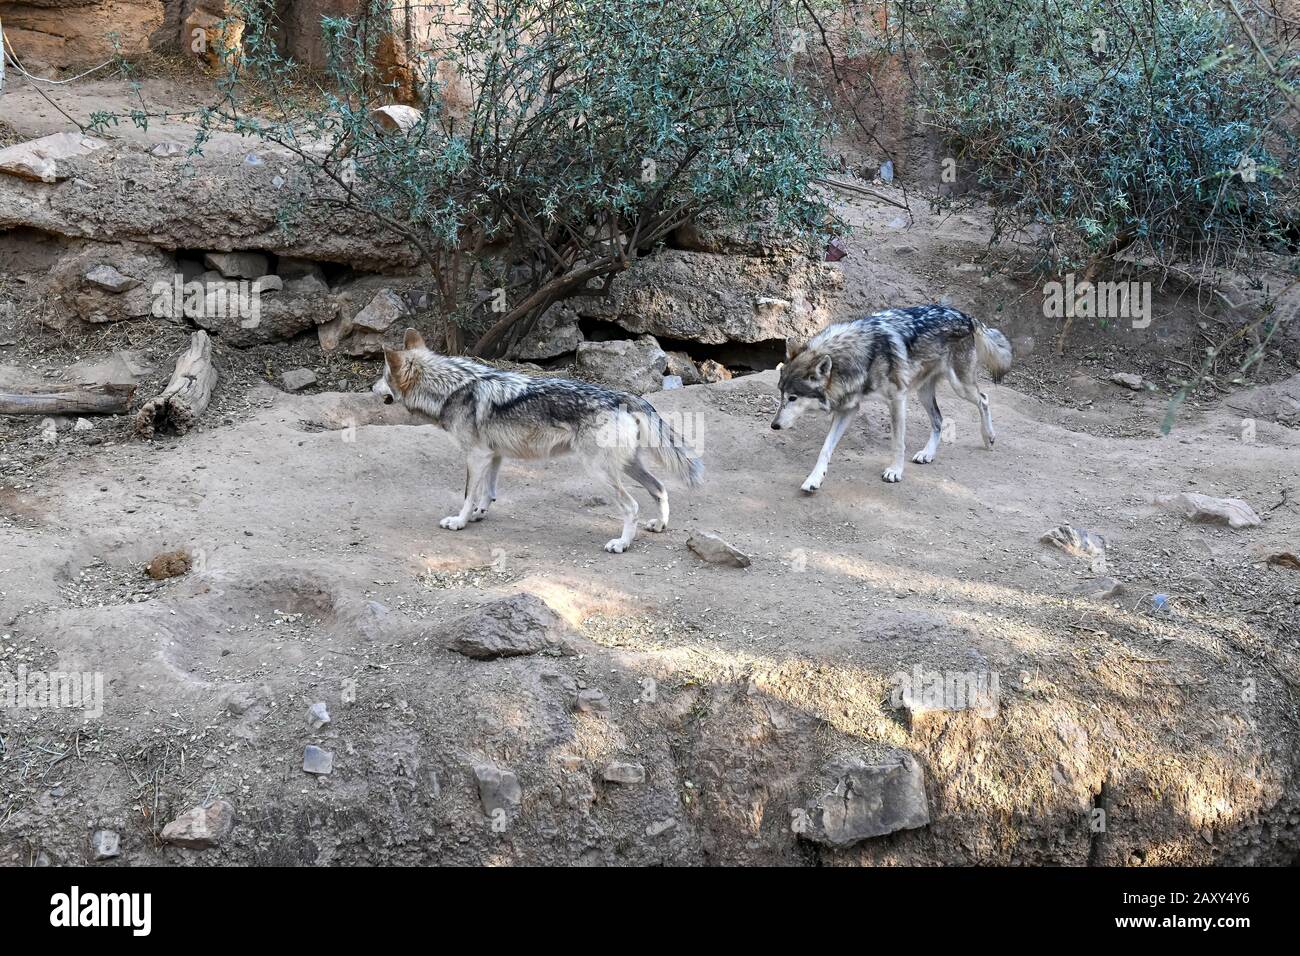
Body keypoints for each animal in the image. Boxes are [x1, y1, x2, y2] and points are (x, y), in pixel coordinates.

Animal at [372, 329, 703, 553]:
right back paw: (659, 525)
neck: (451, 387)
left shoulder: (476, 456)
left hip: (600, 472)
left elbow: (467, 495)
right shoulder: (493, 455)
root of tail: (622, 394)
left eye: (383, 375)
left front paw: (459, 521)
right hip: (627, 466)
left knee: (632, 505)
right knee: (659, 489)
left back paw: (621, 544)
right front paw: (480, 514)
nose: (372, 388)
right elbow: (487, 493)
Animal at [770, 305, 1012, 490]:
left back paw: (988, 437)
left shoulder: (896, 399)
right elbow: (825, 448)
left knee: (984, 398)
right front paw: (814, 479)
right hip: (924, 393)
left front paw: (895, 471)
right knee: (939, 420)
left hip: (960, 386)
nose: (774, 426)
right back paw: (927, 453)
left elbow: (898, 442)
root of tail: (966, 315)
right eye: (781, 393)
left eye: (793, 398)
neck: (860, 356)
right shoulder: (848, 409)